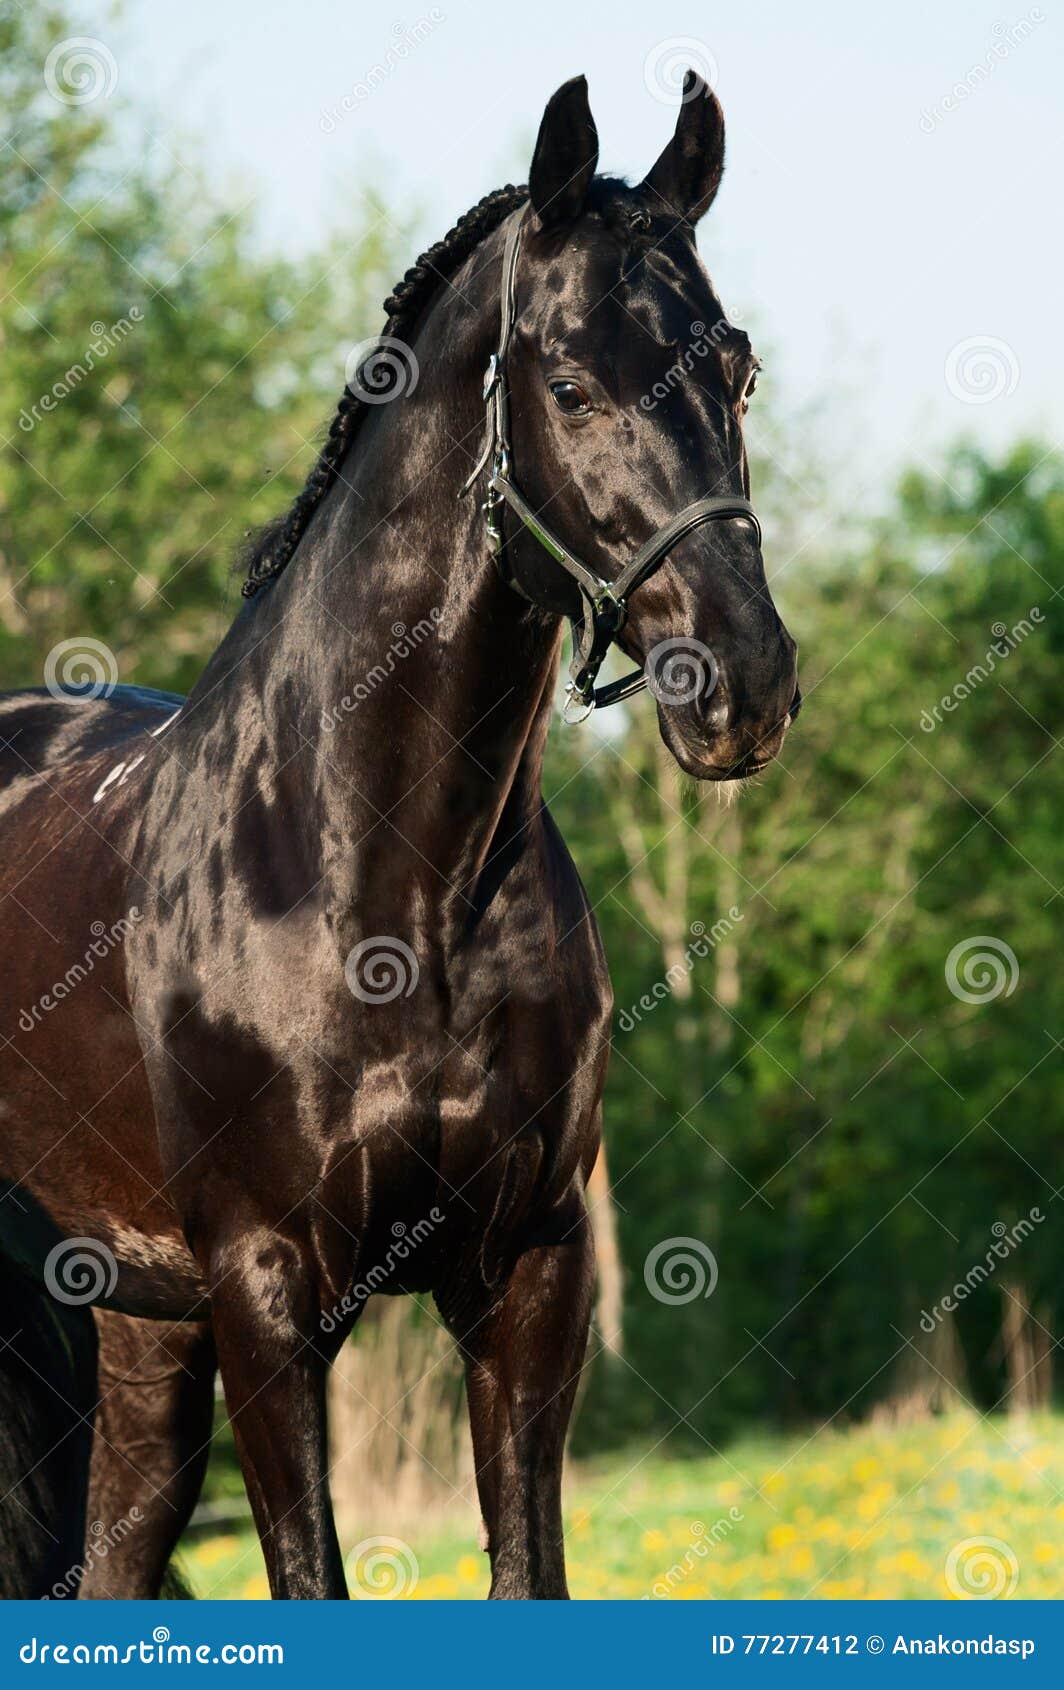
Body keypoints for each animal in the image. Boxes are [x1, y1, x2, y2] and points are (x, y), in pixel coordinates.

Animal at [0, 72, 799, 1599]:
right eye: (568, 383)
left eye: (734, 370)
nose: (744, 685)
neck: (387, 883)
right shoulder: (269, 1289)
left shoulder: (527, 1270)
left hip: (136, 1327)